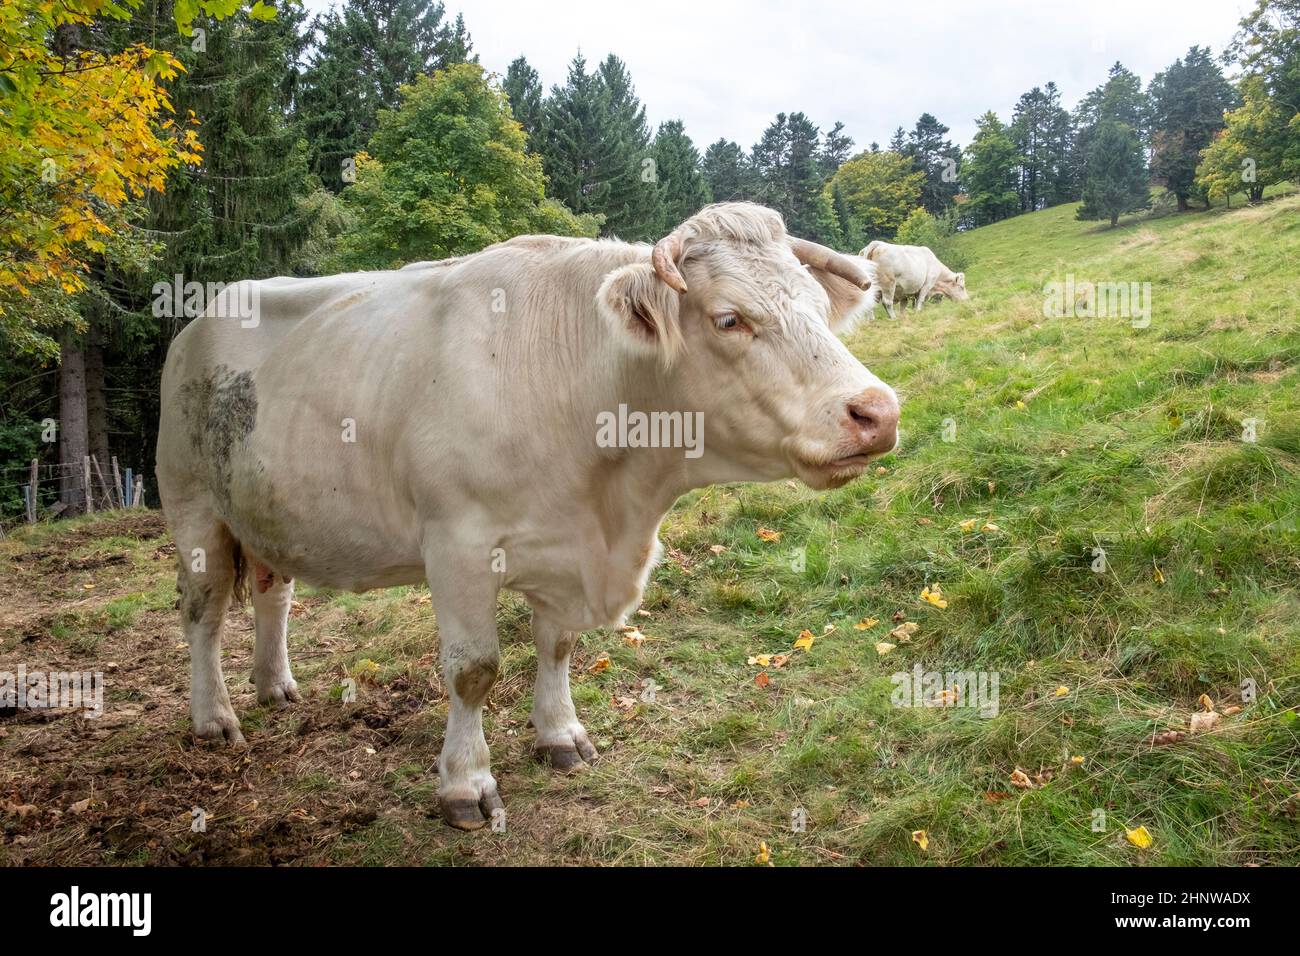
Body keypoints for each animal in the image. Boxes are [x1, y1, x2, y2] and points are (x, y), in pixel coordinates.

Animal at [156, 202, 900, 830]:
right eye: (728, 319)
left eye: (817, 307)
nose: (877, 411)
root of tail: (201, 316)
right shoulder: (456, 546)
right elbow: (474, 670)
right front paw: (466, 783)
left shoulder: (564, 550)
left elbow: (559, 645)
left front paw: (561, 734)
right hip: (193, 507)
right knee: (203, 613)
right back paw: (215, 717)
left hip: (263, 506)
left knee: (272, 592)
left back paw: (276, 686)